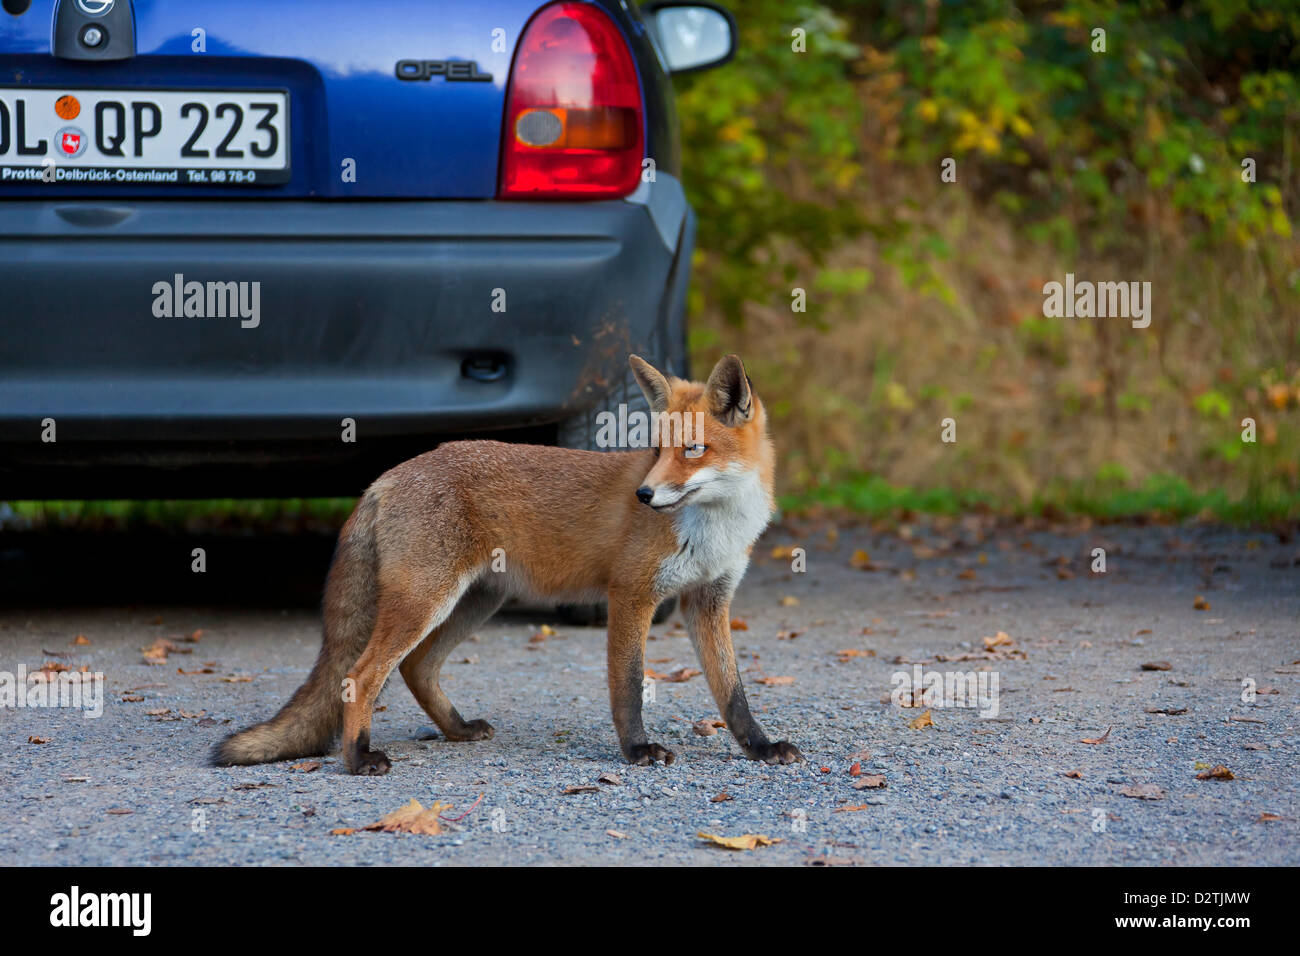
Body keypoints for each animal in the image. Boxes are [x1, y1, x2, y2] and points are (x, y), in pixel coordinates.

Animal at [213, 353, 803, 773]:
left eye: (694, 450)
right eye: (656, 450)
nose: (643, 494)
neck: (715, 527)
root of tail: (384, 477)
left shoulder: (707, 601)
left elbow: (733, 692)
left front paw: (760, 747)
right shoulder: (632, 595)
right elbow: (630, 685)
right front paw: (638, 751)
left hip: (475, 601)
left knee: (415, 666)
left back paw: (456, 730)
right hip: (428, 601)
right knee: (361, 674)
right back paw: (359, 759)